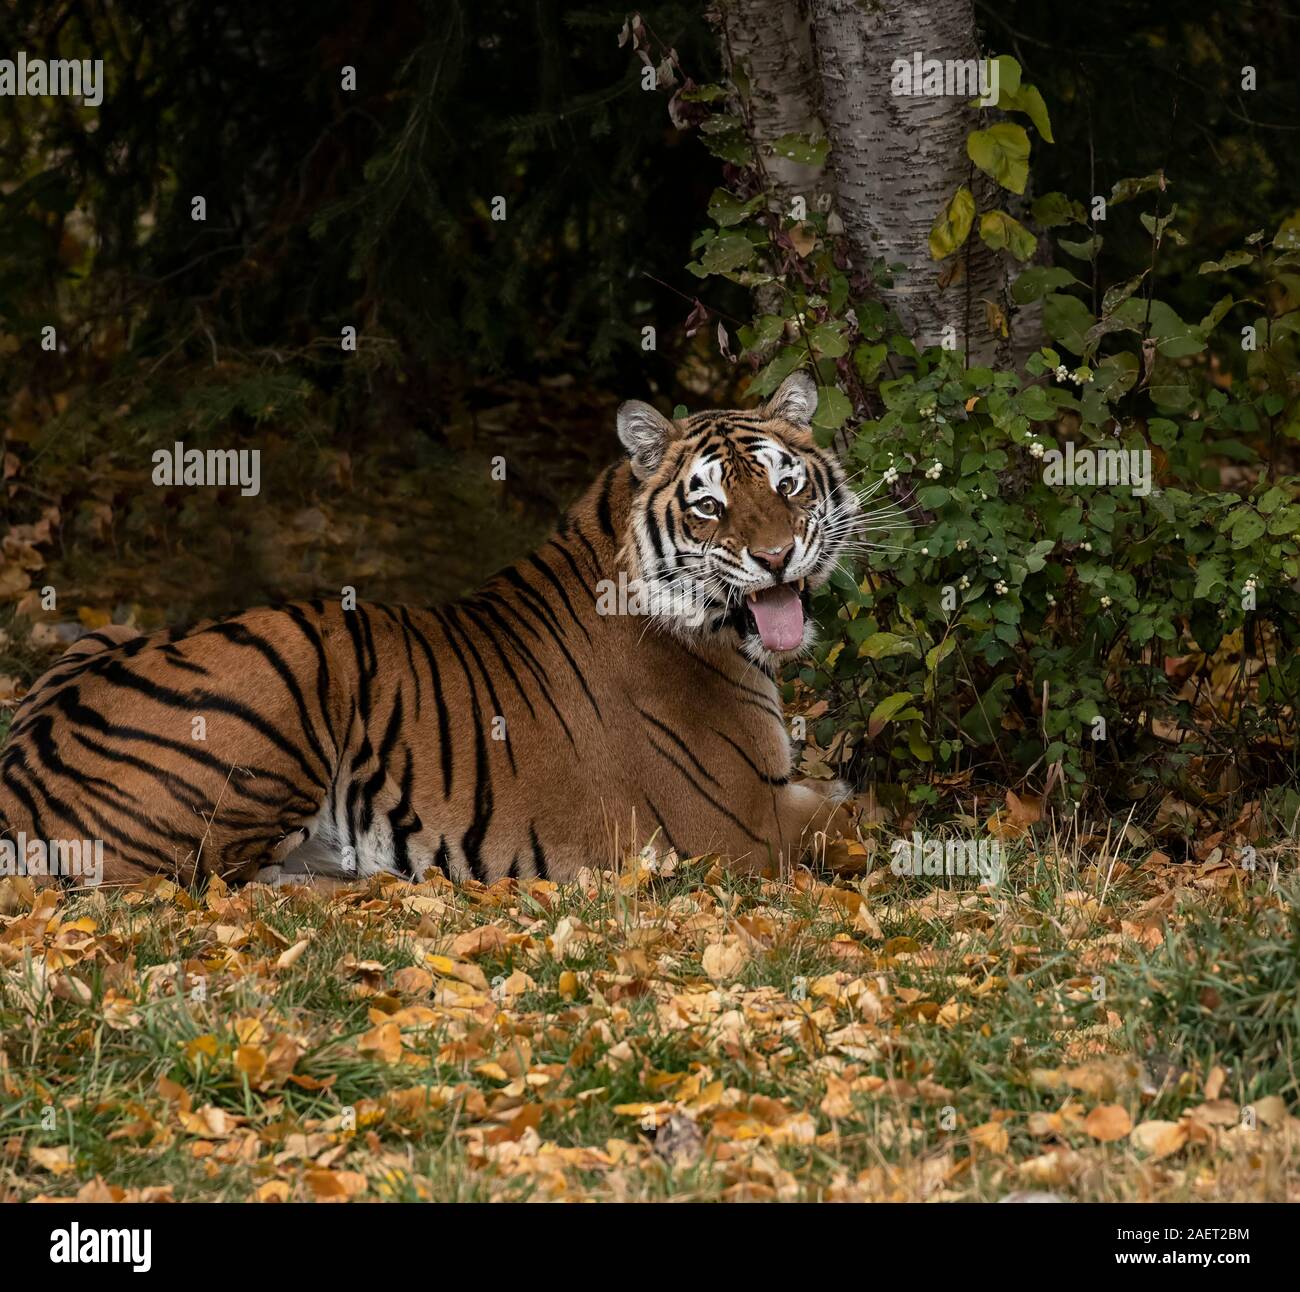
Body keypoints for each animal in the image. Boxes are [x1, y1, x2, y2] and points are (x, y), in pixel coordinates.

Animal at [0, 372, 862, 888]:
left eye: (787, 486)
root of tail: (20, 771)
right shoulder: (740, 826)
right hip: (289, 666)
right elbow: (862, 819)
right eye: (709, 505)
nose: (776, 557)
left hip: (96, 638)